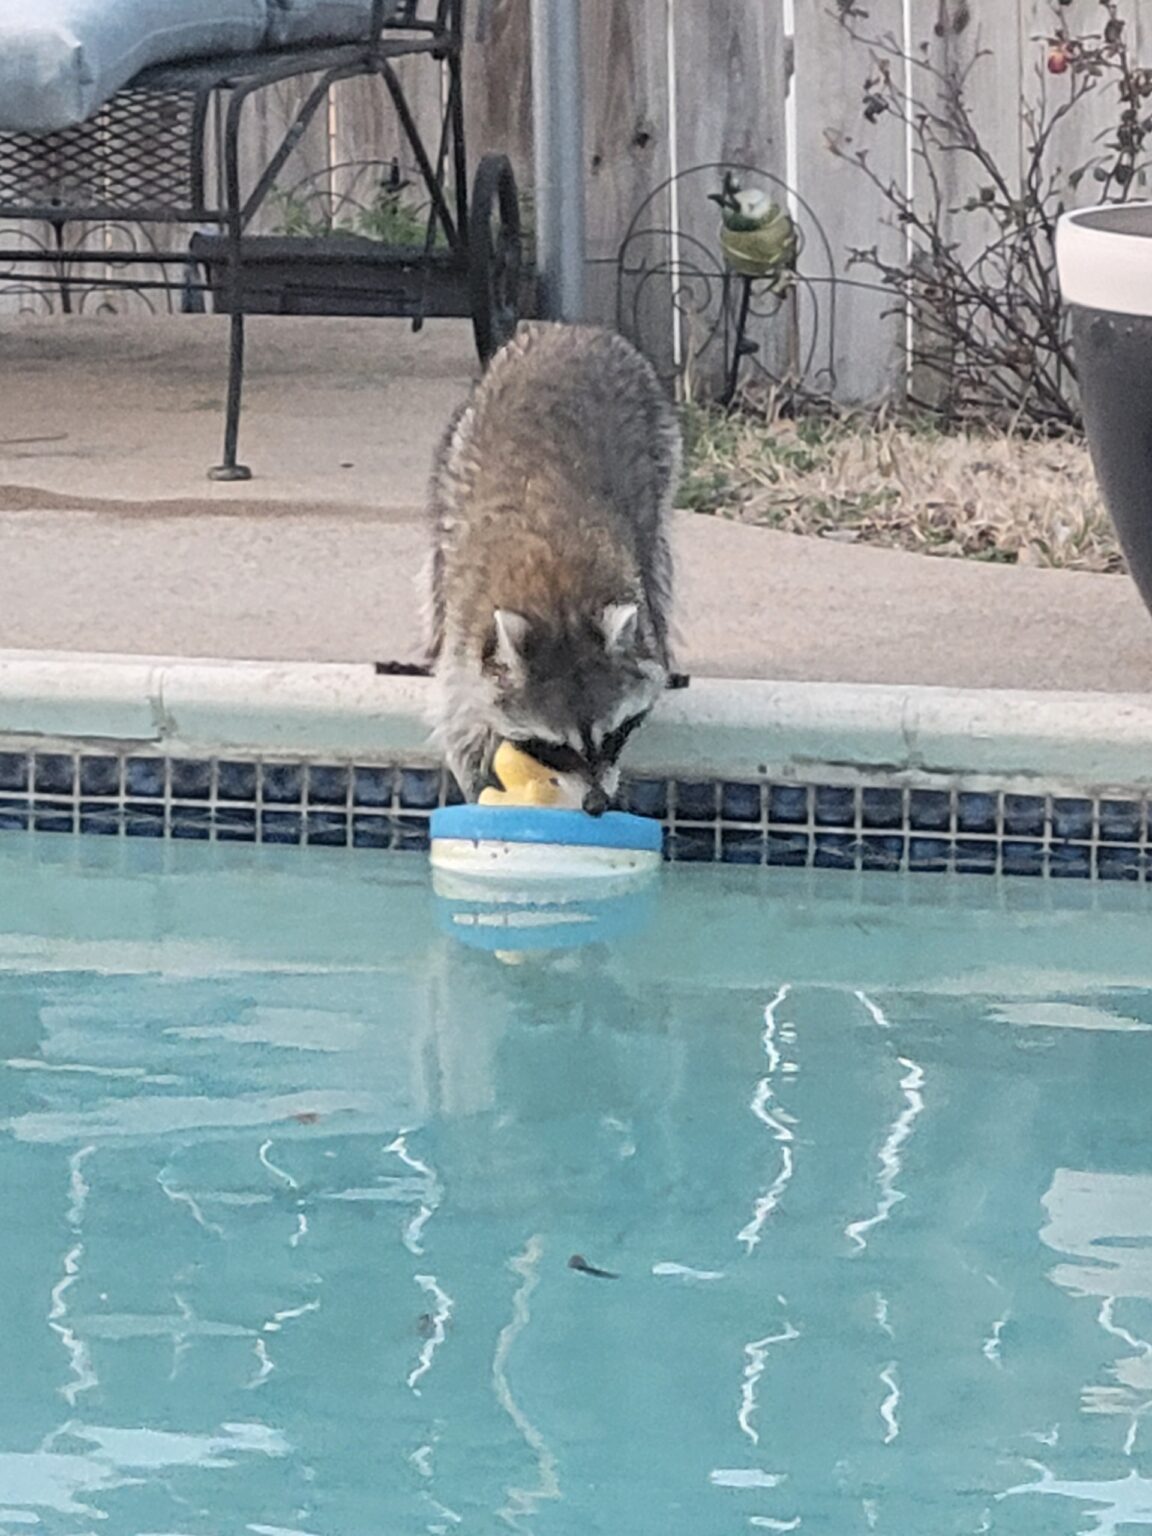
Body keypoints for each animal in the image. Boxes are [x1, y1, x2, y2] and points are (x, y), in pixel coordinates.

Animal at [426, 321, 680, 814]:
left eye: (614, 734)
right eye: (555, 747)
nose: (597, 805)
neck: (558, 598)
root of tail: (570, 330)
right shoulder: (468, 623)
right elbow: (458, 708)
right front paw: (473, 775)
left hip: (659, 446)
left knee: (658, 558)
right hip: (457, 451)